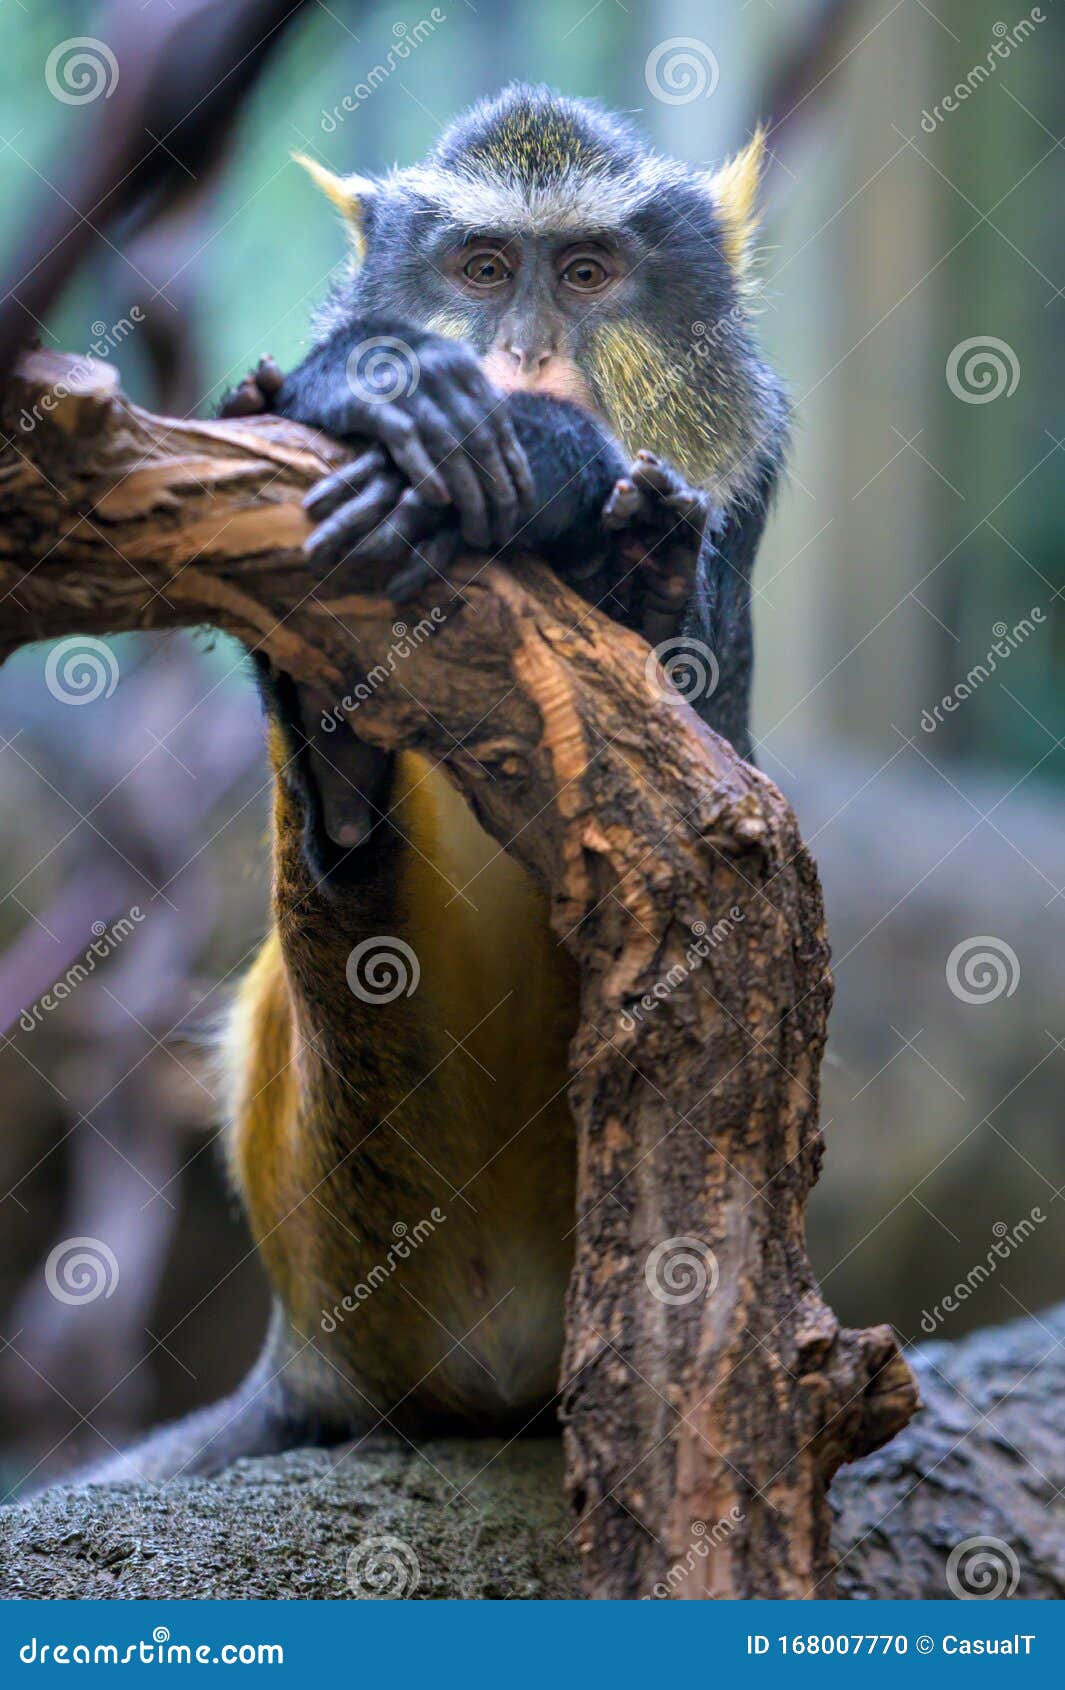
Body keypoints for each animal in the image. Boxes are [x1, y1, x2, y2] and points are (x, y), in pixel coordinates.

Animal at [77, 85, 788, 1484]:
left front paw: (558, 464)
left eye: (586, 273)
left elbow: (723, 792)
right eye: (481, 270)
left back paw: (630, 569)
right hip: (341, 1216)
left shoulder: (750, 480)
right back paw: (337, 750)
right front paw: (376, 384)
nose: (521, 356)